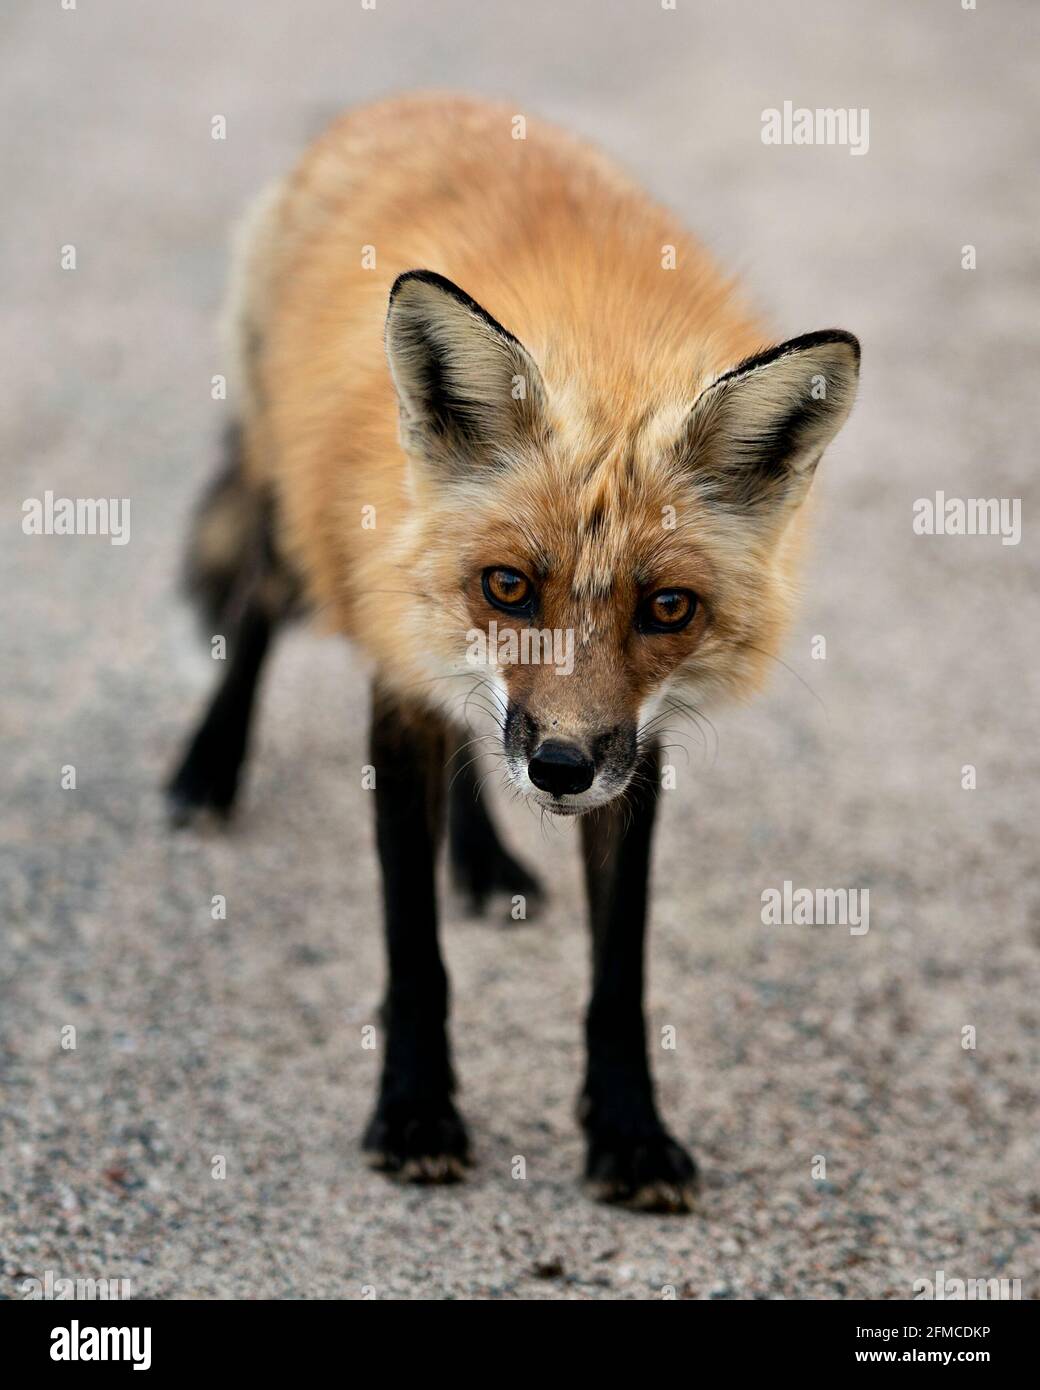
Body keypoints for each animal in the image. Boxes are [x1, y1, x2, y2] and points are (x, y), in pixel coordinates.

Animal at [167, 92, 859, 1213]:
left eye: (668, 607)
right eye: (506, 586)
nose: (561, 769)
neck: (603, 352)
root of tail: (409, 100)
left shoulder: (635, 744)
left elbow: (619, 976)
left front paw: (628, 1133)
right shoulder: (399, 679)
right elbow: (415, 955)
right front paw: (414, 1112)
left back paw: (486, 860)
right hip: (293, 516)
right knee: (253, 613)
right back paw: (207, 768)